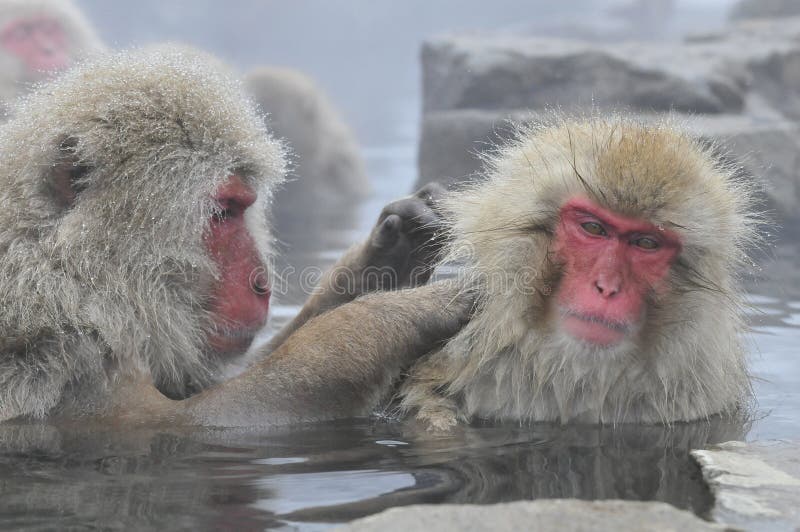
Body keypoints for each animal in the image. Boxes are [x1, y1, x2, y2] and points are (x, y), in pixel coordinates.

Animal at [0, 45, 471, 427]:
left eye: (242, 206)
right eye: (222, 213)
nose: (263, 284)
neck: (71, 276)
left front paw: (393, 252)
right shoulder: (63, 355)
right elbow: (196, 422)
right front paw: (392, 314)